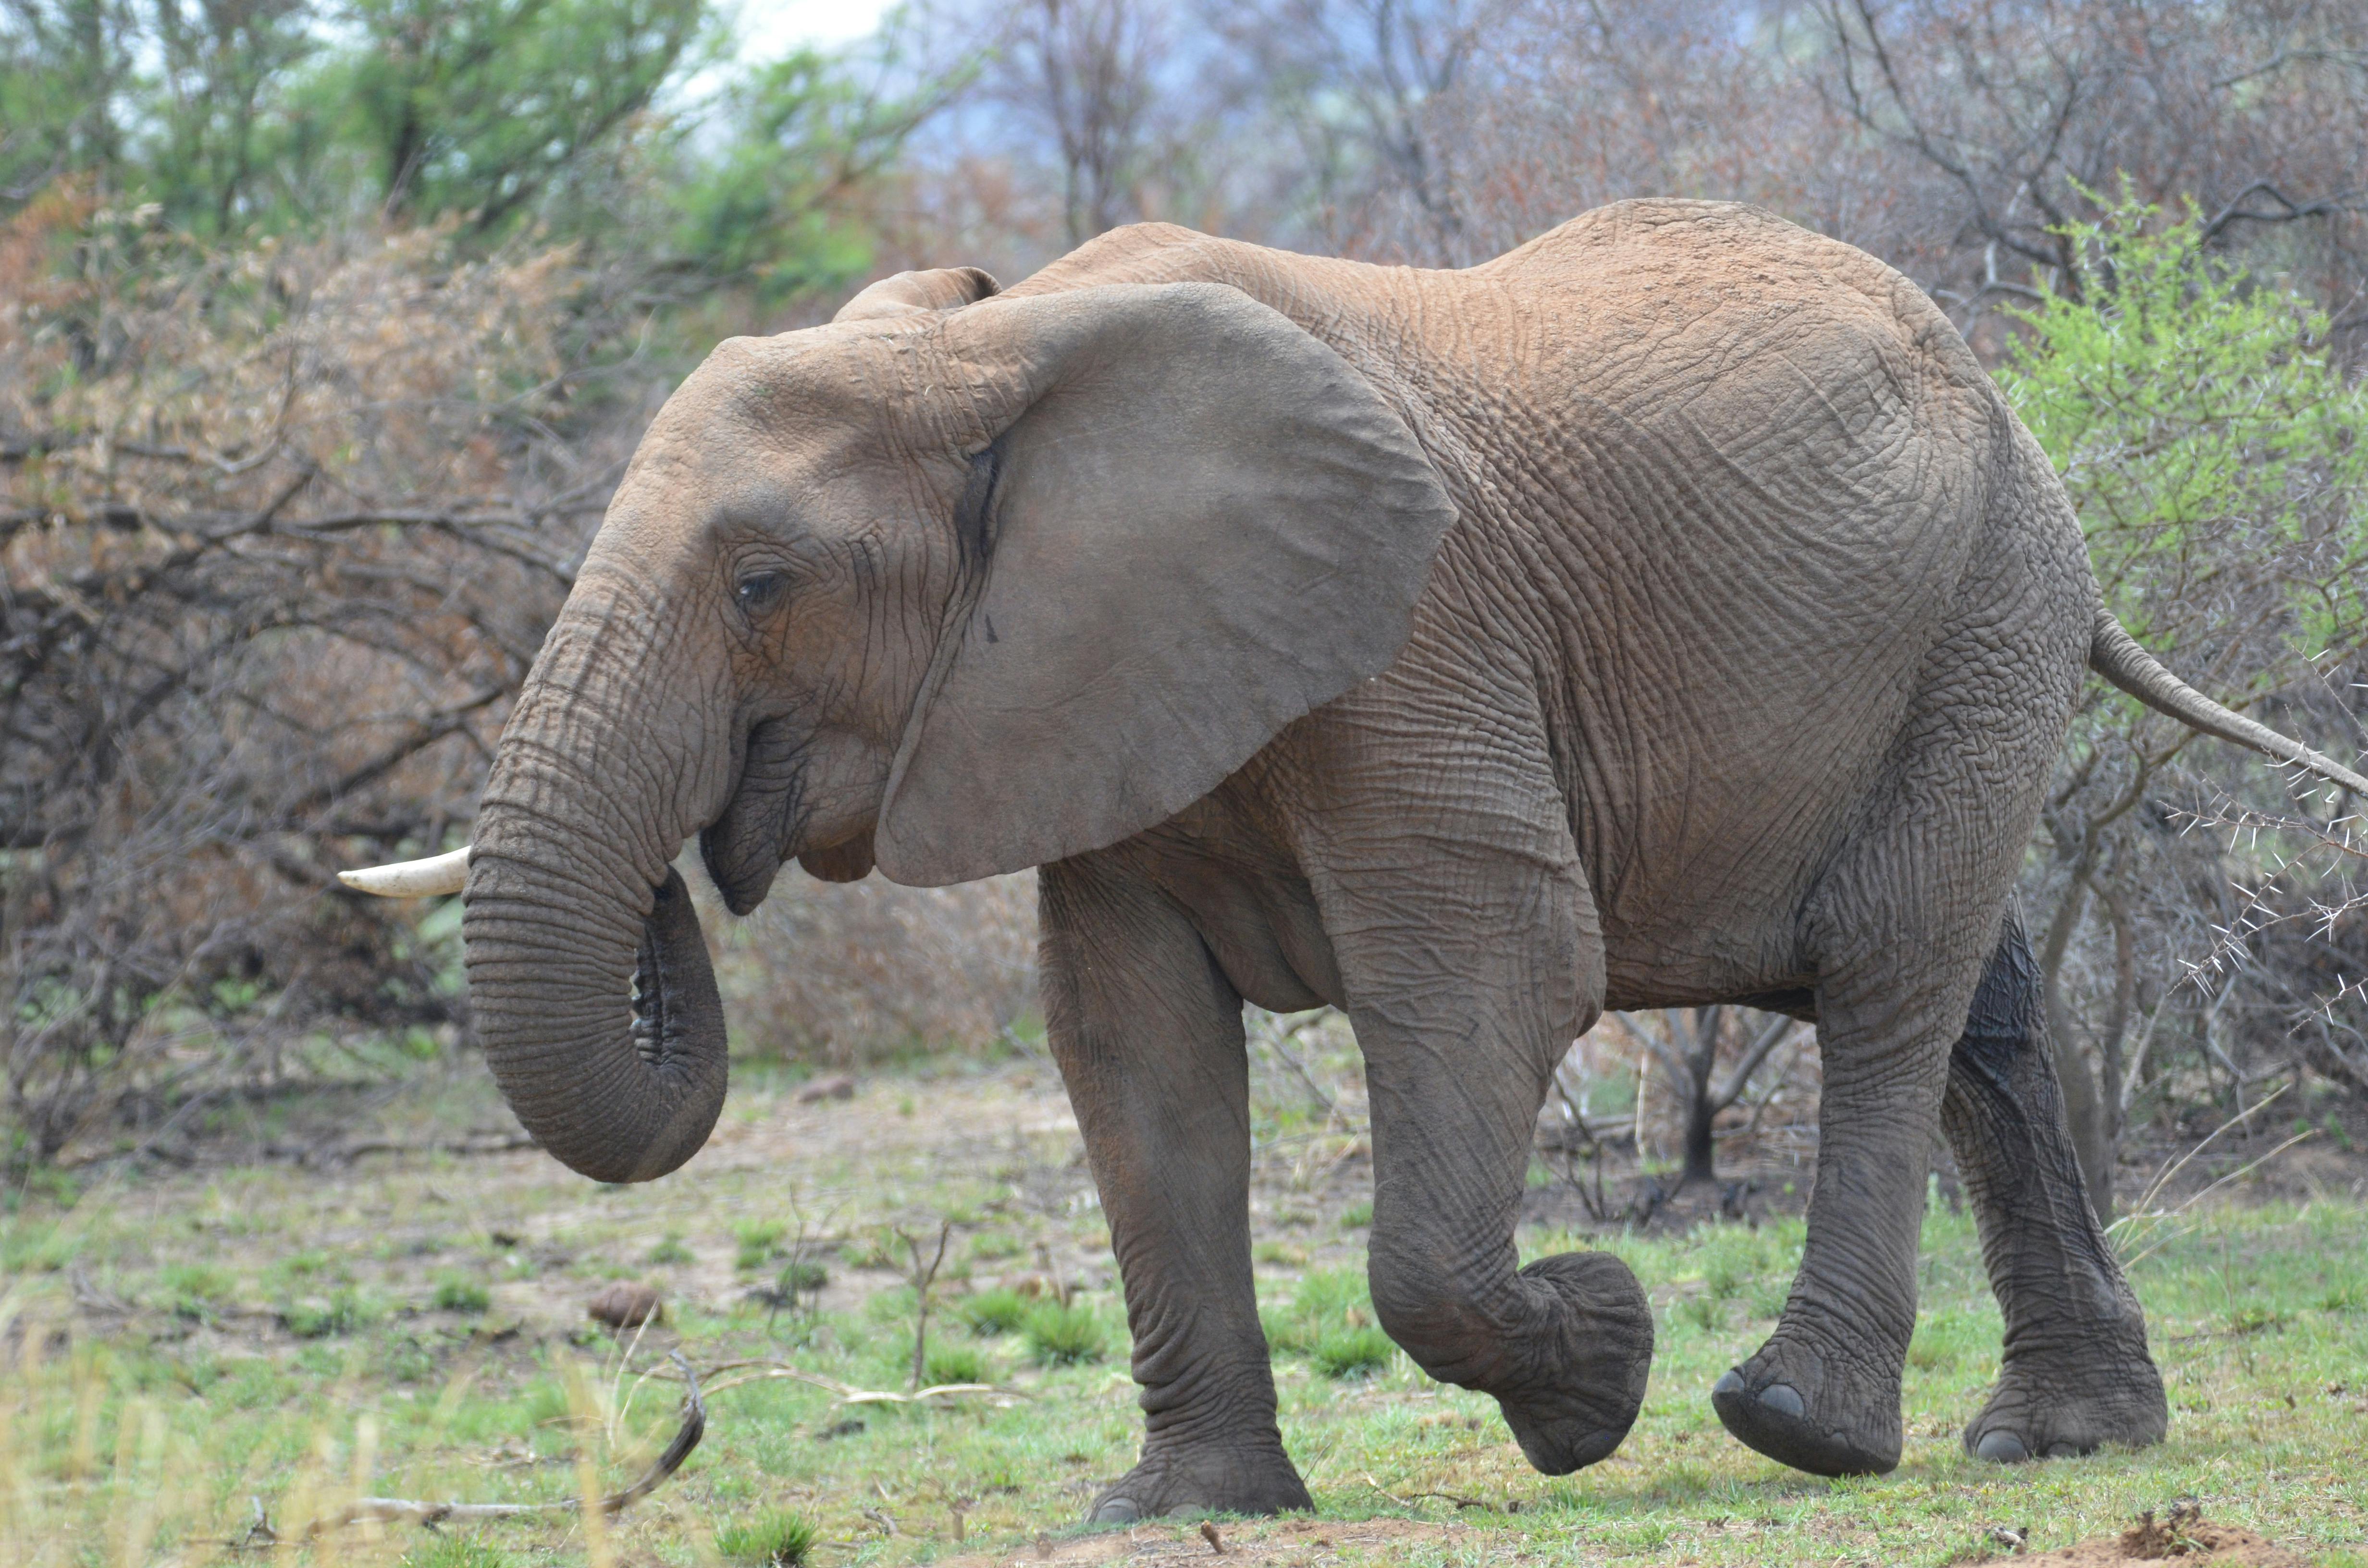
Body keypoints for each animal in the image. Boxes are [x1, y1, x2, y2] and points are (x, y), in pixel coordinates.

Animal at [344, 199, 2368, 1519]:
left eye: (761, 583)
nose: (698, 862)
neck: (995, 345)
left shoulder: (1418, 632)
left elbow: (1498, 970)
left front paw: (1597, 1371)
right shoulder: (1091, 683)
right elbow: (1129, 1044)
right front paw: (1183, 1507)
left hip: (1985, 613)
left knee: (1881, 982)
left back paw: (1797, 1424)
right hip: (1963, 624)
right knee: (1978, 1006)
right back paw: (2066, 1444)